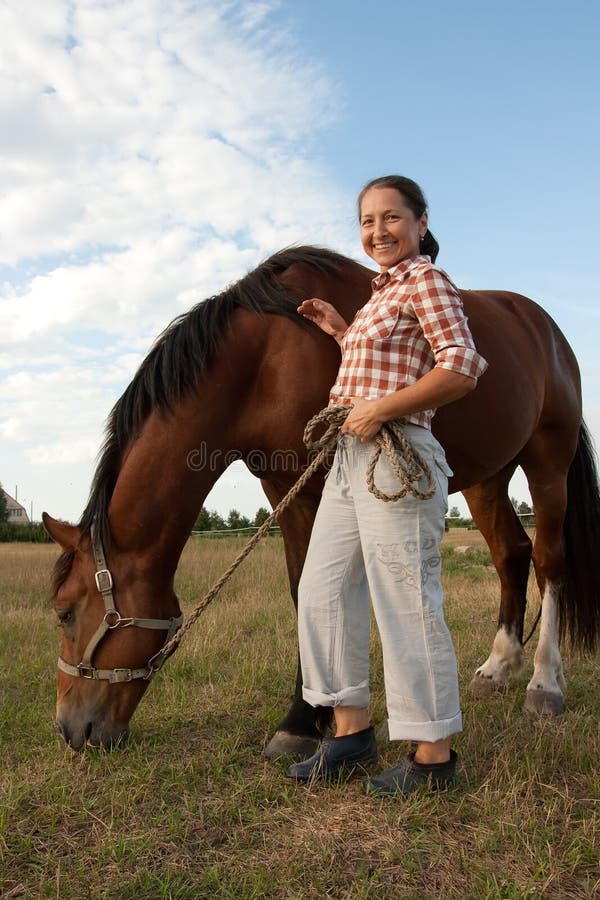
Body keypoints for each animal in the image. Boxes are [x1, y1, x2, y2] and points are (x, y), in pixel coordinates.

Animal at [43, 246, 600, 752]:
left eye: (65, 613)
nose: (70, 729)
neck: (264, 358)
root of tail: (548, 331)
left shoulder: (315, 485)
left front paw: (304, 718)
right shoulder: (282, 488)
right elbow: (303, 588)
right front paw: (314, 714)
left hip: (548, 463)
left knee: (549, 559)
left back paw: (544, 684)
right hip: (488, 478)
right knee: (511, 553)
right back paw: (498, 666)